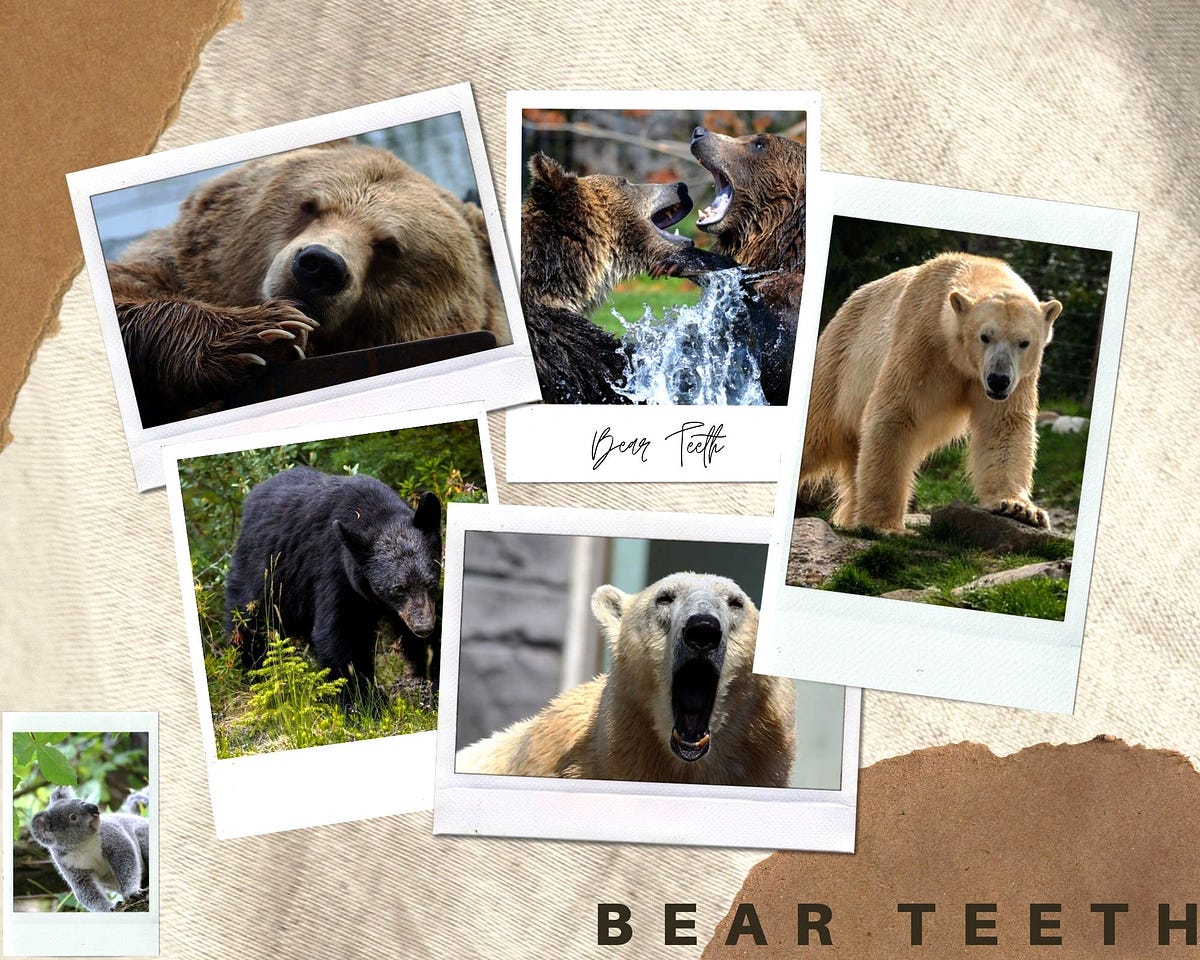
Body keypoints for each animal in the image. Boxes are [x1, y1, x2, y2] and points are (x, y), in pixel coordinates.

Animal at [108, 142, 509, 427]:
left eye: (389, 246)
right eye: (310, 205)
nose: (320, 266)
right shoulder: (168, 270)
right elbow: (127, 297)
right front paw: (265, 335)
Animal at [224, 465, 442, 706]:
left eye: (430, 582)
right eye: (398, 588)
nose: (423, 627)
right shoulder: (335, 571)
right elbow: (340, 634)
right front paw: (363, 702)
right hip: (265, 570)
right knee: (249, 620)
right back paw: (255, 673)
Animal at [799, 252, 1062, 532]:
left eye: (1024, 342)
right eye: (985, 336)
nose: (998, 380)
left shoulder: (1019, 378)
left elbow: (1004, 425)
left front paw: (1020, 508)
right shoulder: (923, 342)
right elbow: (895, 412)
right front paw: (882, 523)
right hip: (838, 364)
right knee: (818, 430)